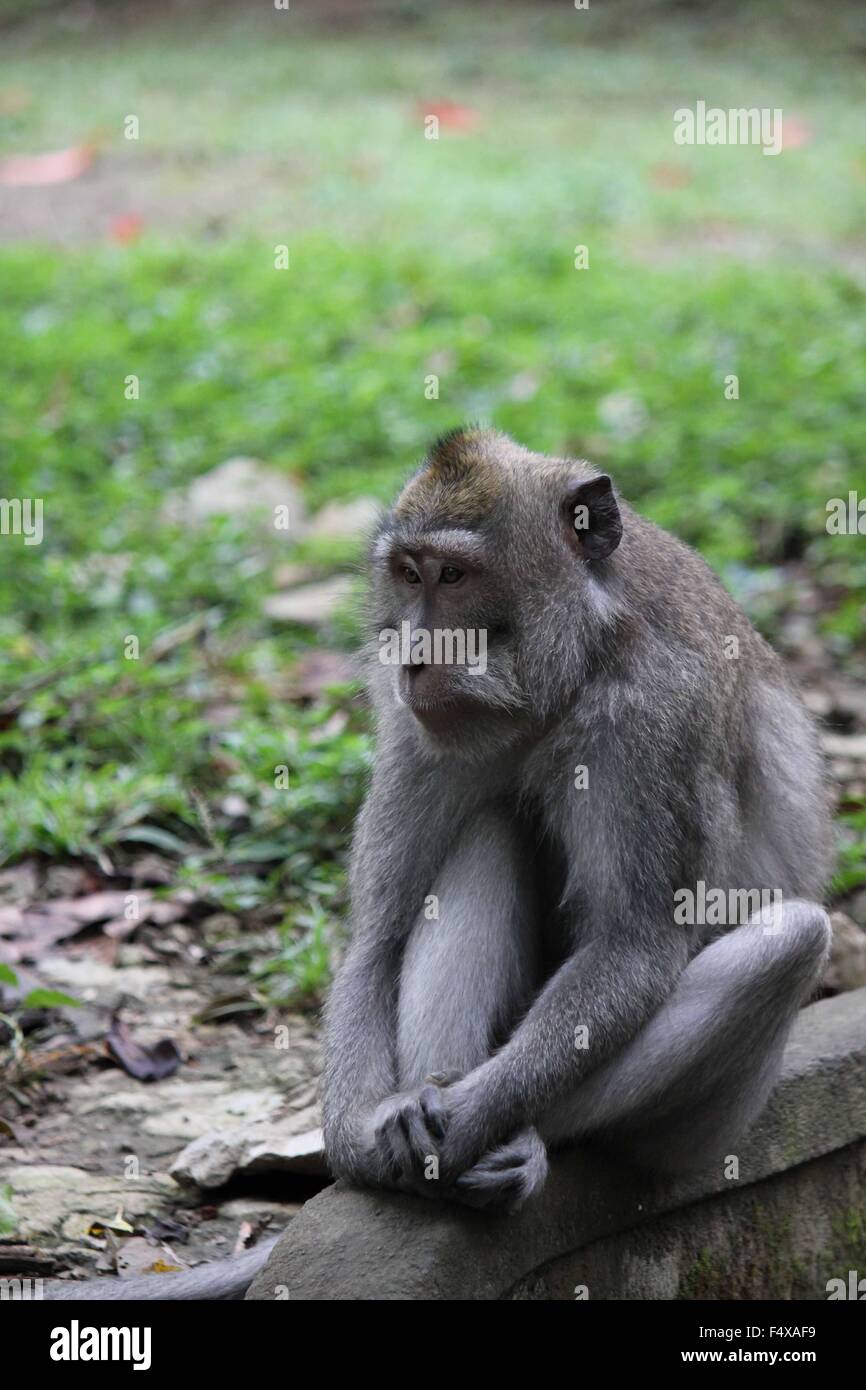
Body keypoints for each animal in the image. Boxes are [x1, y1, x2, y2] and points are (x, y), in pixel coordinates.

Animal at [322, 426, 833, 1212]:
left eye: (453, 577)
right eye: (408, 576)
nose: (412, 657)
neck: (565, 677)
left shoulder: (652, 716)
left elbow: (634, 946)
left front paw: (467, 1118)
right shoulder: (414, 731)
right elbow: (378, 941)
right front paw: (357, 1137)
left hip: (711, 1133)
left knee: (793, 938)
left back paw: (515, 1141)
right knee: (490, 829)